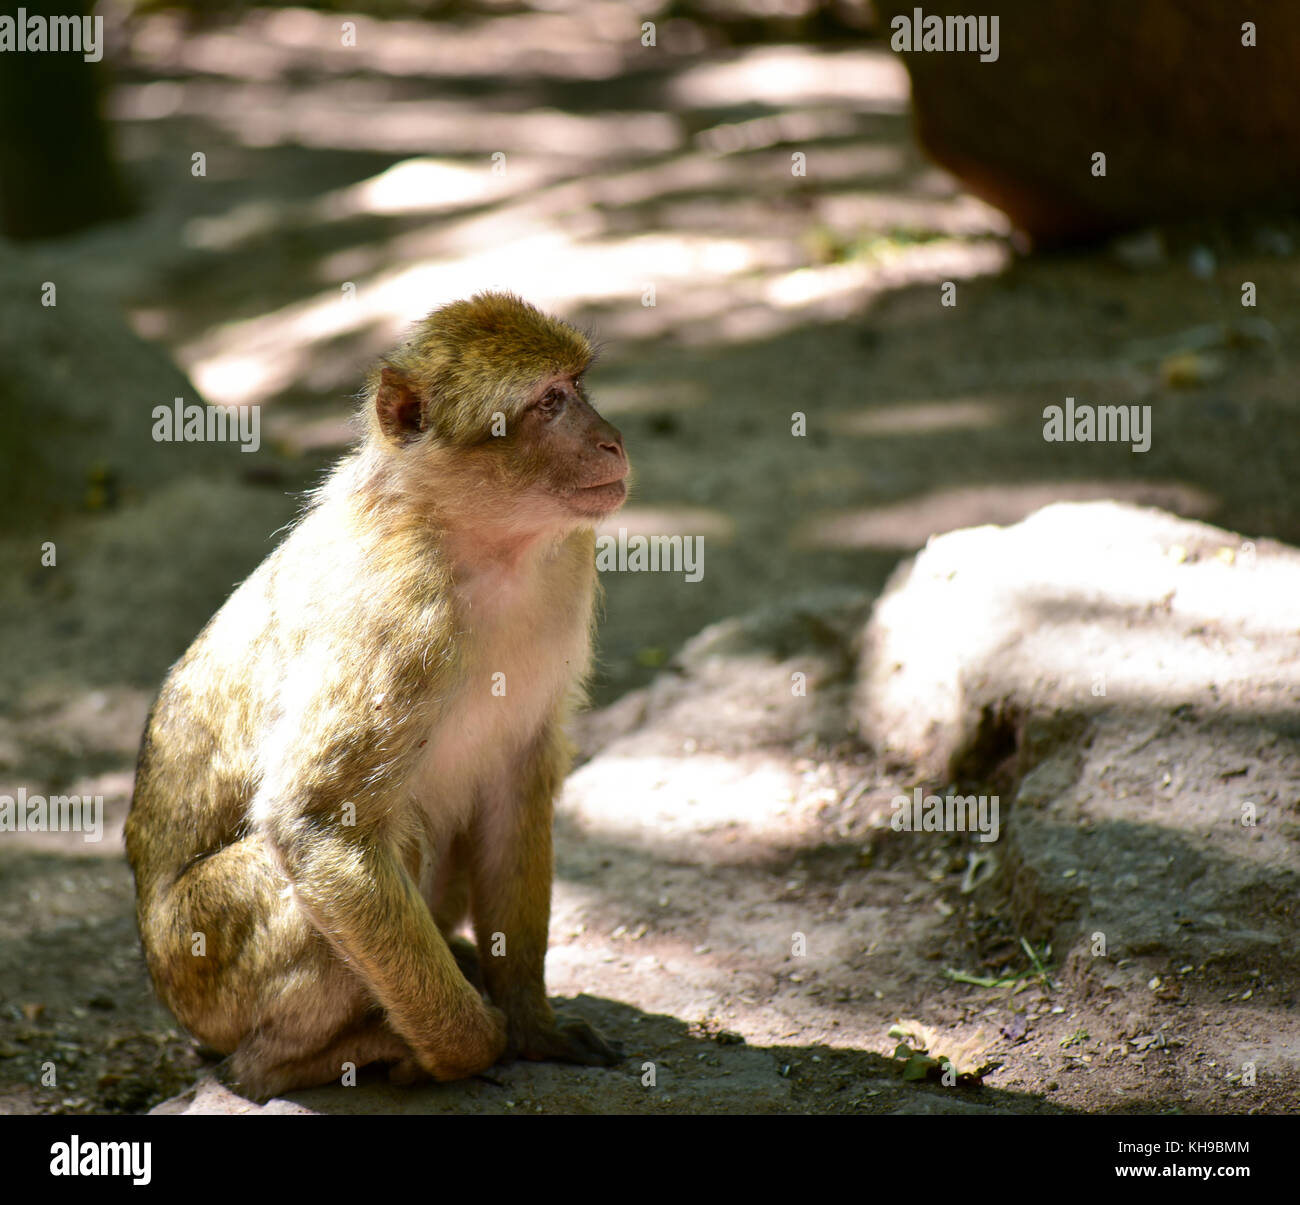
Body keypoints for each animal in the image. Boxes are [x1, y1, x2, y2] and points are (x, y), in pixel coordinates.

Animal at [125, 292, 629, 1099]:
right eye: (550, 402)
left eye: (578, 385)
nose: (611, 441)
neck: (474, 541)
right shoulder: (400, 610)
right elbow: (317, 822)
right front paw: (472, 1046)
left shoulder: (567, 564)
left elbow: (517, 773)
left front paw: (533, 1023)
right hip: (205, 969)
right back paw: (305, 1060)